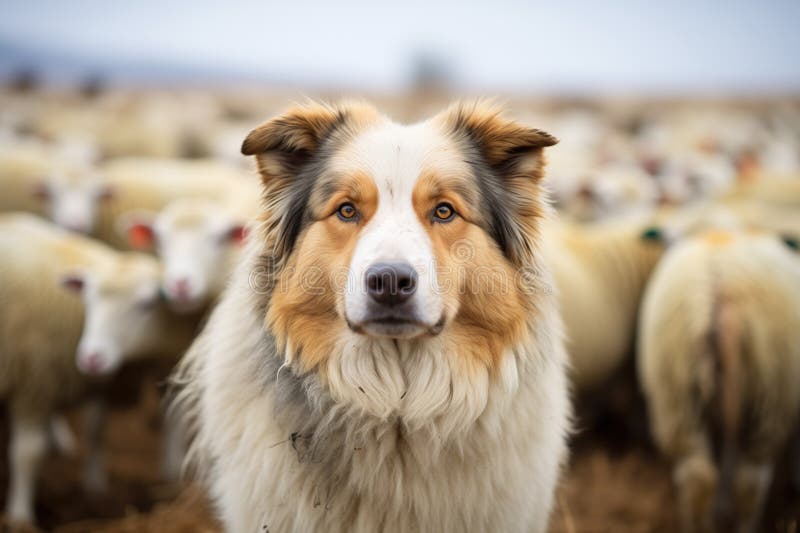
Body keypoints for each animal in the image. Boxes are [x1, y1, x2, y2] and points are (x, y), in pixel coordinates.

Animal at [0, 213, 198, 525]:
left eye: (146, 304)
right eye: (88, 298)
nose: (91, 357)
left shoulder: (88, 383)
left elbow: (97, 431)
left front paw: (95, 488)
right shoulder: (34, 382)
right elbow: (27, 454)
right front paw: (20, 516)